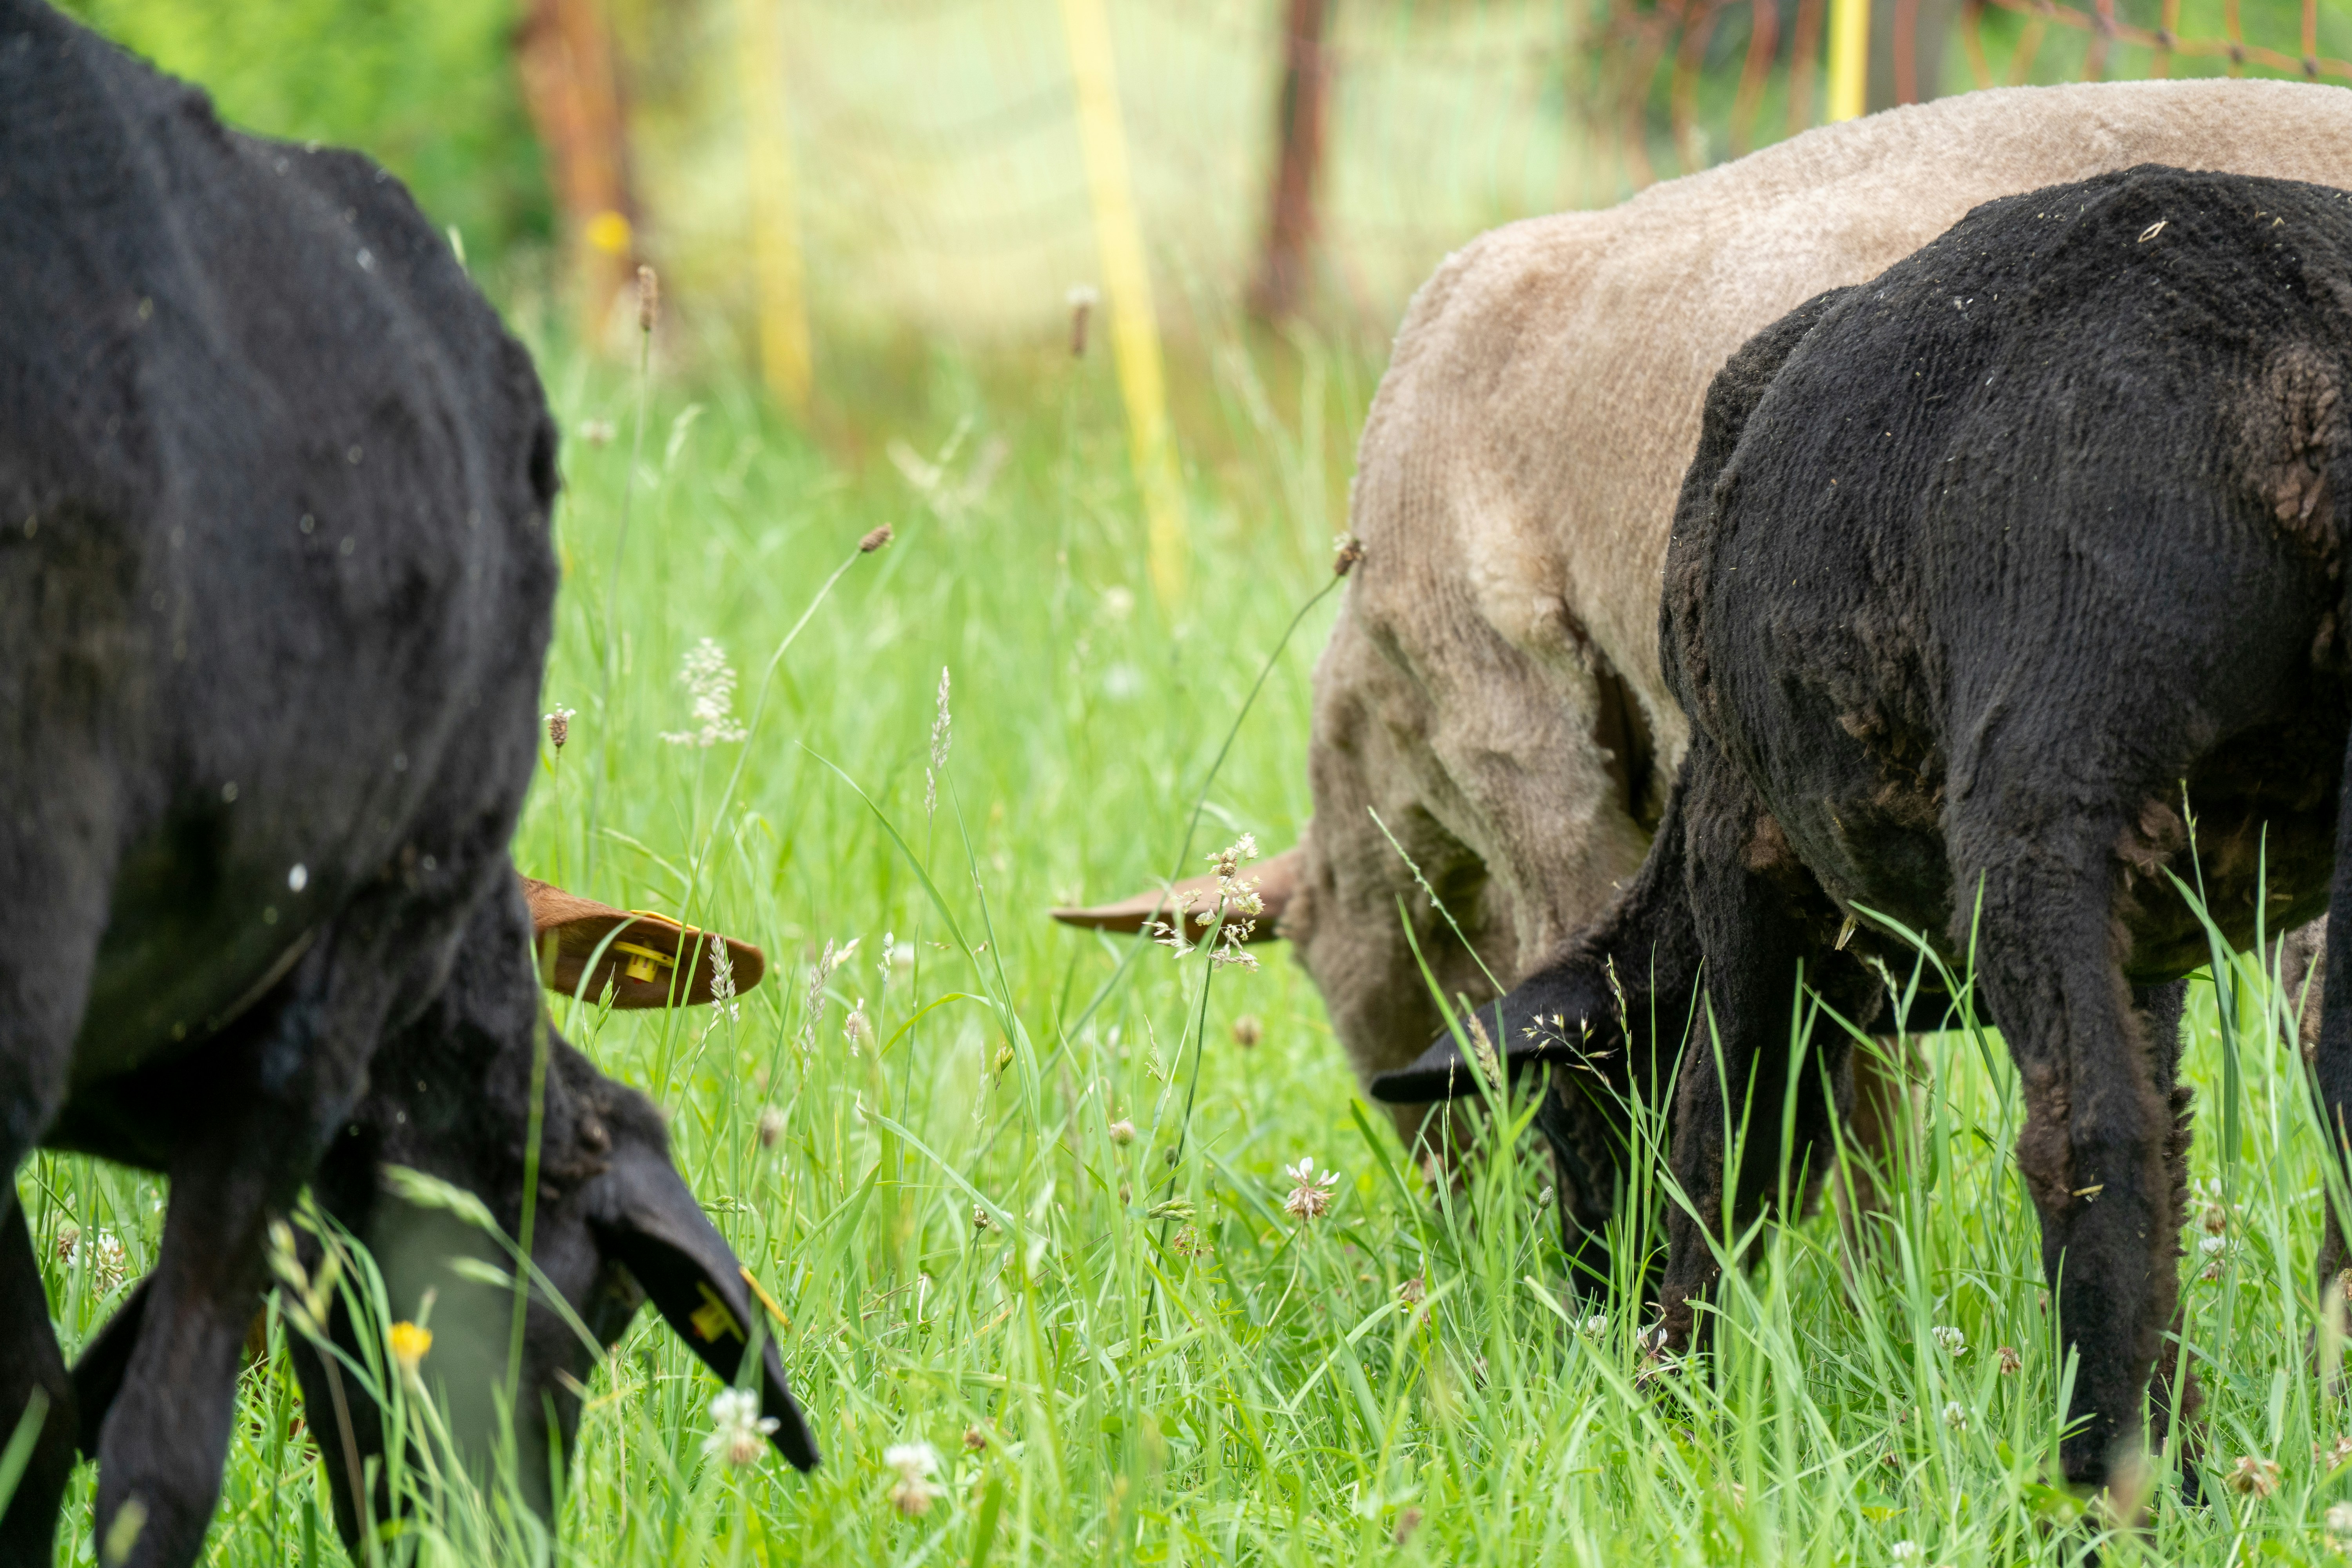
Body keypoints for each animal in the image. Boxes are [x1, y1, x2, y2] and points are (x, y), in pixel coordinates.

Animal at [1383, 164, 2352, 1493]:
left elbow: (1728, 1131)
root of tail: (2298, 343)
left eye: (1571, 1122)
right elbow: (2171, 1113)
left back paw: (2111, 1485)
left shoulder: (1740, 842)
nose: (1586, 1298)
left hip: (2047, 774)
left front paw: (1673, 1399)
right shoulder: (2151, 921)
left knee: (2085, 1136)